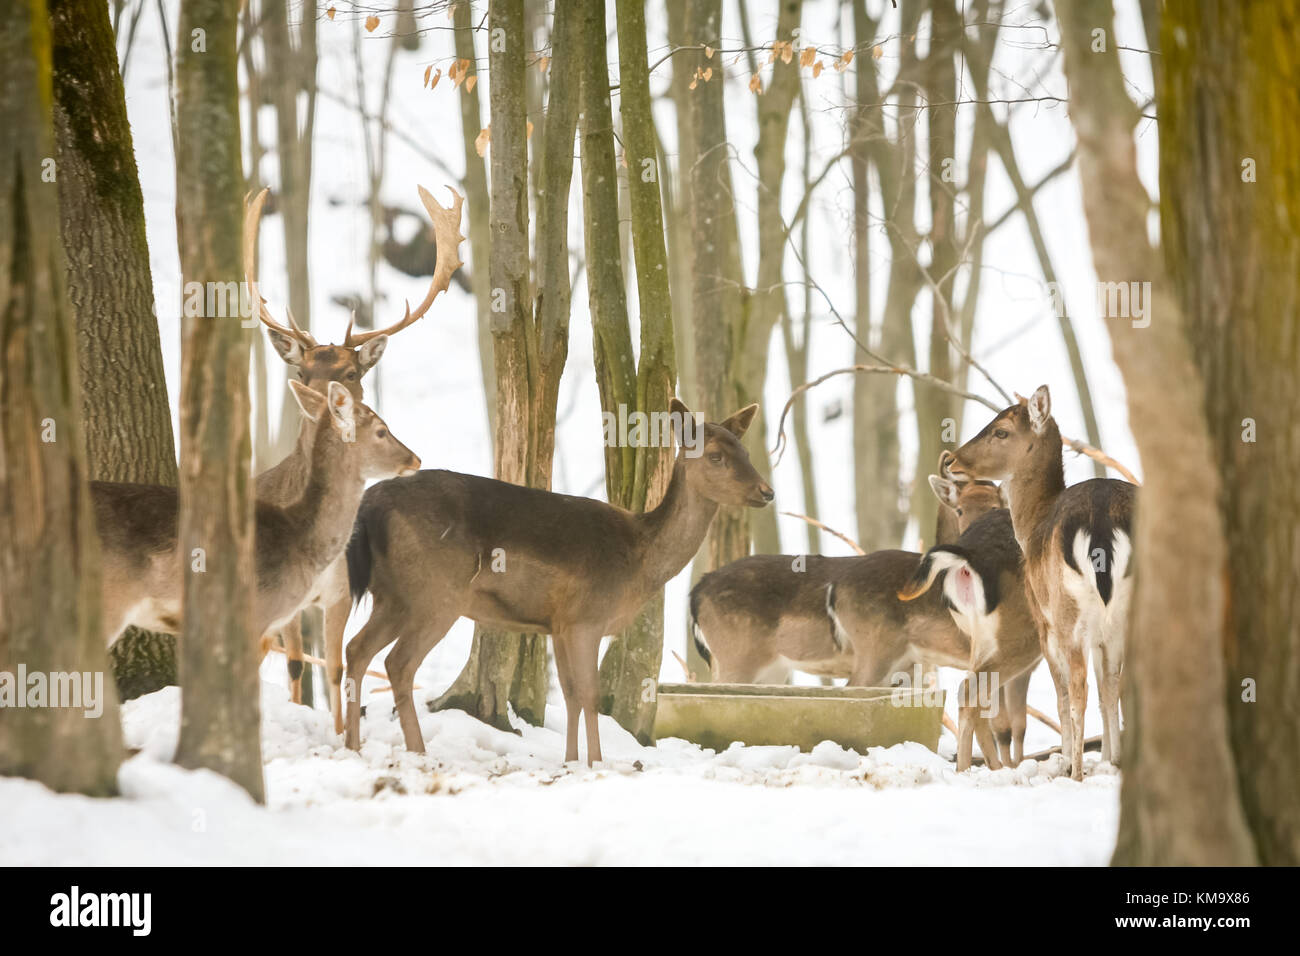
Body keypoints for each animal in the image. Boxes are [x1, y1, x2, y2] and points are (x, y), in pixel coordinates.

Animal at [244, 184, 464, 730]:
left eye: (350, 373)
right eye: (303, 371)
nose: (326, 405)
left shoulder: (340, 591)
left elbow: (337, 664)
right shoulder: (292, 601)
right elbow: (296, 664)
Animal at [342, 399, 774, 765]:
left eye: (747, 453)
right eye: (716, 456)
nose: (767, 491)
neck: (639, 562)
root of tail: (370, 505)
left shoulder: (560, 624)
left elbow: (568, 694)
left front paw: (571, 761)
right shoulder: (587, 618)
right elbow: (589, 694)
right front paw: (596, 762)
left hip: (392, 595)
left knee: (356, 648)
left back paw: (352, 745)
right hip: (436, 594)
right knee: (398, 662)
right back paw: (418, 751)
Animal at [947, 385, 1137, 780]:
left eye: (1001, 430)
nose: (952, 460)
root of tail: (1101, 521)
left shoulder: (1045, 623)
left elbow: (1065, 695)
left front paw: (1066, 762)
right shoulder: (1105, 635)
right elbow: (1108, 688)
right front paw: (1110, 760)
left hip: (1067, 614)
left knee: (1076, 688)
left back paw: (1076, 772)